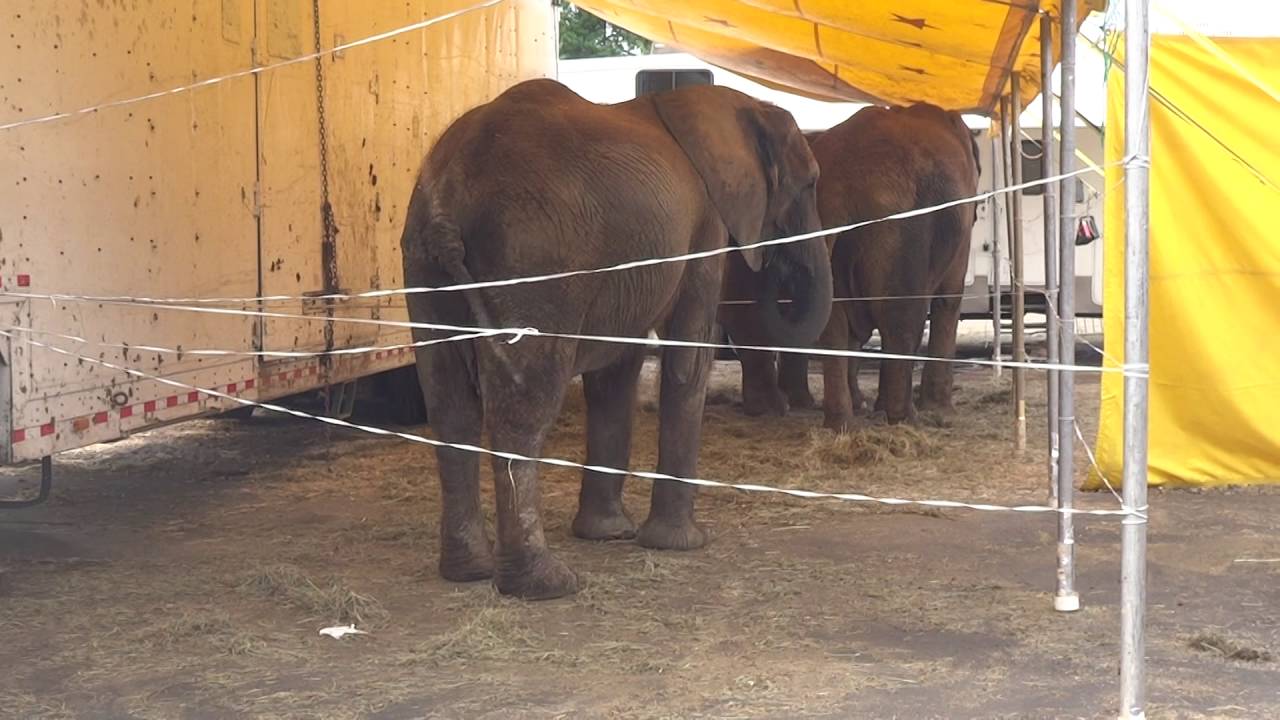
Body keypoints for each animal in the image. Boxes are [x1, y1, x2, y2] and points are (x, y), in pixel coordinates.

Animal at [399, 78, 833, 600]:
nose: (774, 266)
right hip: (533, 259)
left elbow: (614, 373)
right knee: (522, 408)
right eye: (809, 184)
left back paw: (468, 570)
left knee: (448, 403)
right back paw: (544, 583)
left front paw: (606, 534)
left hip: (422, 263)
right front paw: (682, 543)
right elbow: (689, 357)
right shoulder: (703, 228)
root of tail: (448, 195)